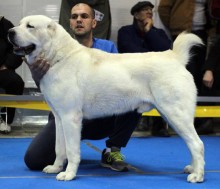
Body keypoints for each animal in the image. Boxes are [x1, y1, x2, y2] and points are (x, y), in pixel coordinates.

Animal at [8, 15, 205, 182]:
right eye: (20, 23)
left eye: (30, 26)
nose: (10, 32)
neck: (58, 57)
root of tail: (175, 58)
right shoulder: (59, 118)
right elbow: (59, 148)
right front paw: (56, 168)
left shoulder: (71, 118)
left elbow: (71, 150)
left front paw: (69, 174)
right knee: (191, 144)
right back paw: (192, 168)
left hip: (175, 114)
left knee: (197, 144)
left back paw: (198, 176)